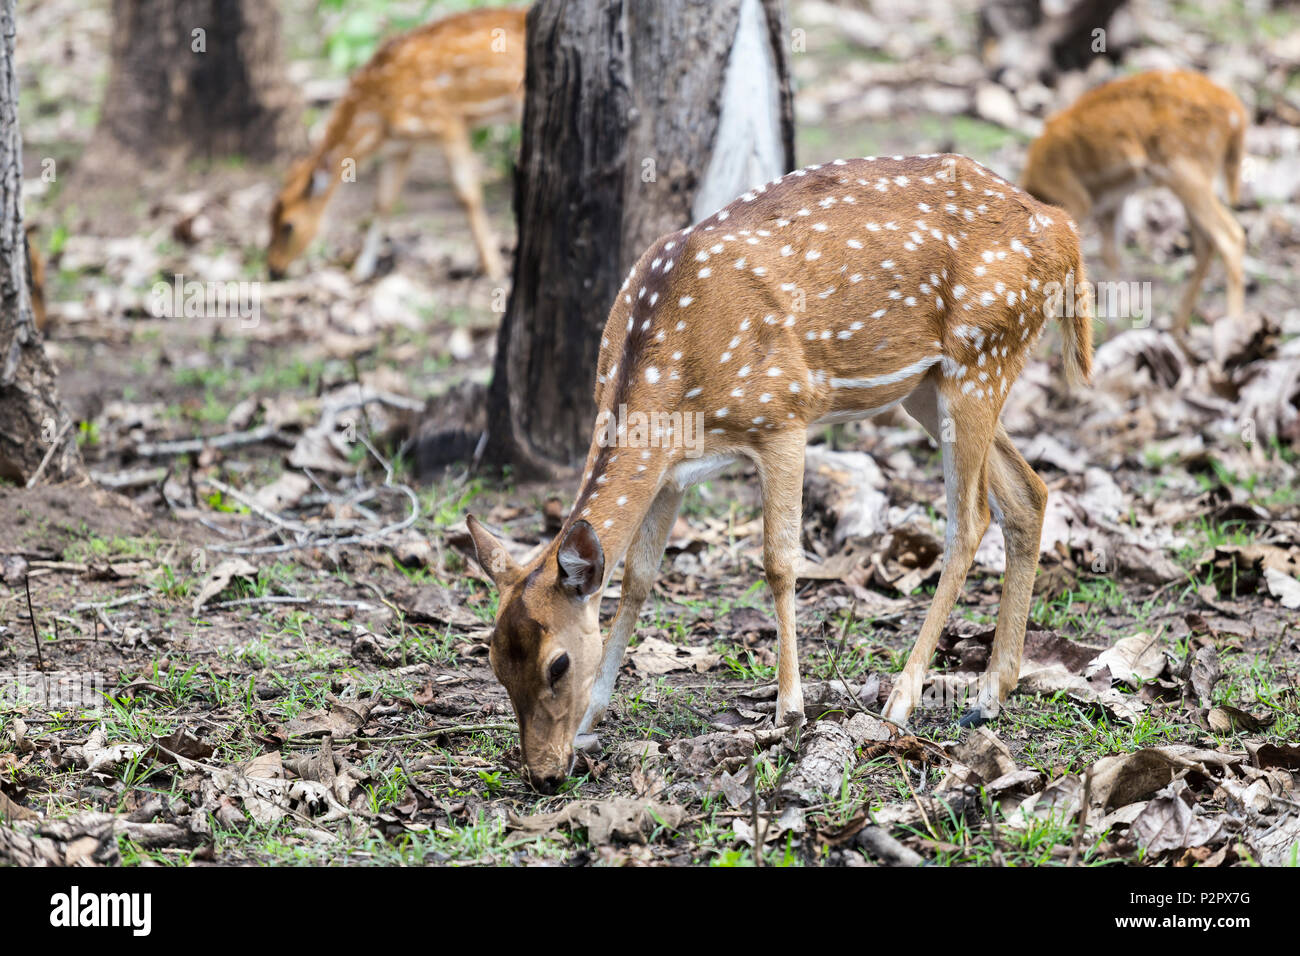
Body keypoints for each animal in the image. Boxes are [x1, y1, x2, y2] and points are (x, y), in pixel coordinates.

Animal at [267, 6, 526, 283]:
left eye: (288, 225)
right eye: (269, 218)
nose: (273, 270)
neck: (378, 117)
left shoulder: (446, 121)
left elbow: (467, 194)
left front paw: (493, 269)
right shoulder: (402, 146)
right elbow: (383, 201)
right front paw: (360, 271)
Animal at [467, 154, 1093, 792]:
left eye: (557, 664)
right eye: (493, 661)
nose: (543, 773)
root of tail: (1065, 232)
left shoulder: (784, 415)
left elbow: (779, 562)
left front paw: (789, 710)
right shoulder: (670, 469)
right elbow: (639, 577)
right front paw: (595, 714)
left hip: (981, 356)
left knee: (969, 520)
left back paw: (901, 701)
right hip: (932, 383)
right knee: (1030, 493)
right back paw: (988, 696)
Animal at [1022, 69, 1248, 338]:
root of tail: (1236, 117)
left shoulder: (1075, 200)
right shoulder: (1112, 203)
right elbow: (1112, 256)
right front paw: (1110, 333)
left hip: (1184, 171)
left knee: (1229, 235)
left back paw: (1234, 328)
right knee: (1206, 243)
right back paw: (1175, 329)